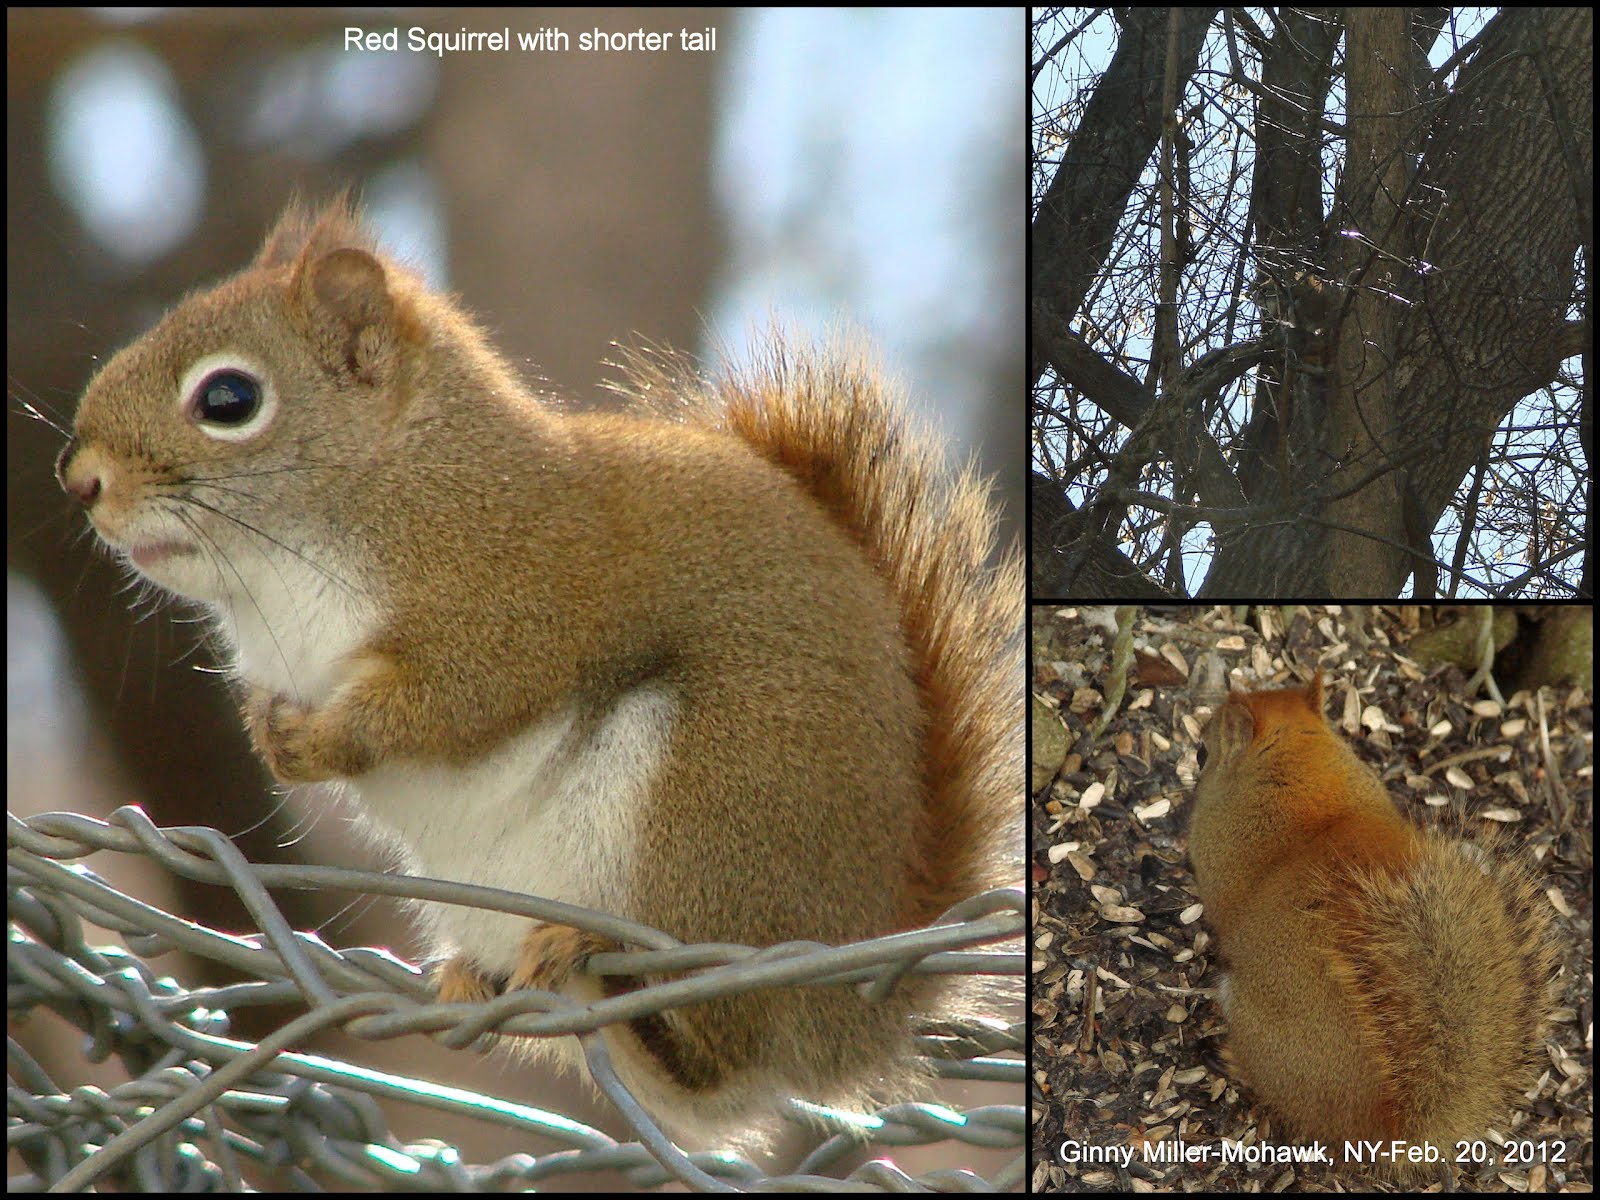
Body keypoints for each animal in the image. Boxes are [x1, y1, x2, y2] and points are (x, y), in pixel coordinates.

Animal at [55, 196, 1022, 1141]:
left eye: (229, 398)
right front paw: (276, 741)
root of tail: (845, 1015)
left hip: (707, 816)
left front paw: (333, 742)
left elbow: (453, 703)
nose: (80, 481)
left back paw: (599, 963)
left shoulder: (520, 605)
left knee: (718, 1052)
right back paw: (480, 981)